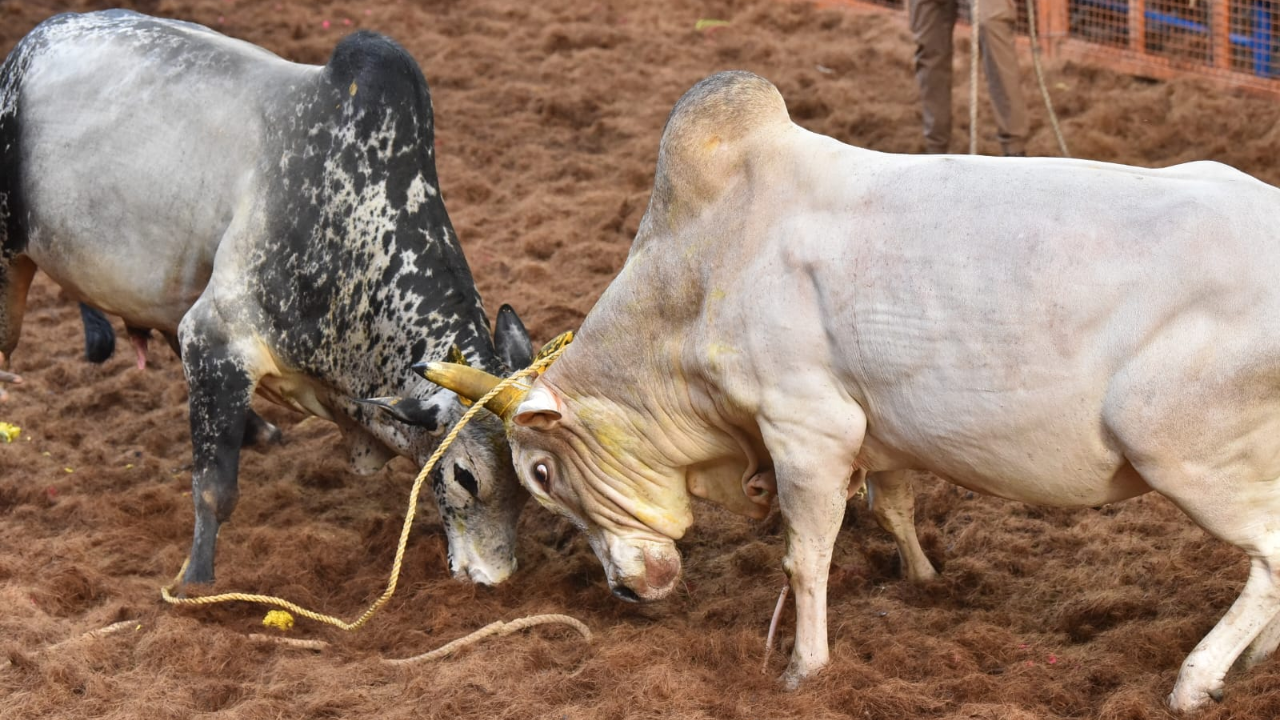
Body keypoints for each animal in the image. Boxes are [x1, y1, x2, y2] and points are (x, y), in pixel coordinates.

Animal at [0, 11, 532, 587]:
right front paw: (194, 582)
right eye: (465, 476)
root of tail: (34, 40)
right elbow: (214, 489)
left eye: (528, 485)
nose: (495, 576)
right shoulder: (216, 338)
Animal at [414, 71, 1280, 711]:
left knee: (1269, 557)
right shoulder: (878, 430)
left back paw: (1199, 677)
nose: (627, 591)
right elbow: (893, 506)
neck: (706, 265)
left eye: (539, 473)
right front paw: (924, 580)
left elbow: (804, 557)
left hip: (1176, 448)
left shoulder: (808, 429)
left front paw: (805, 668)